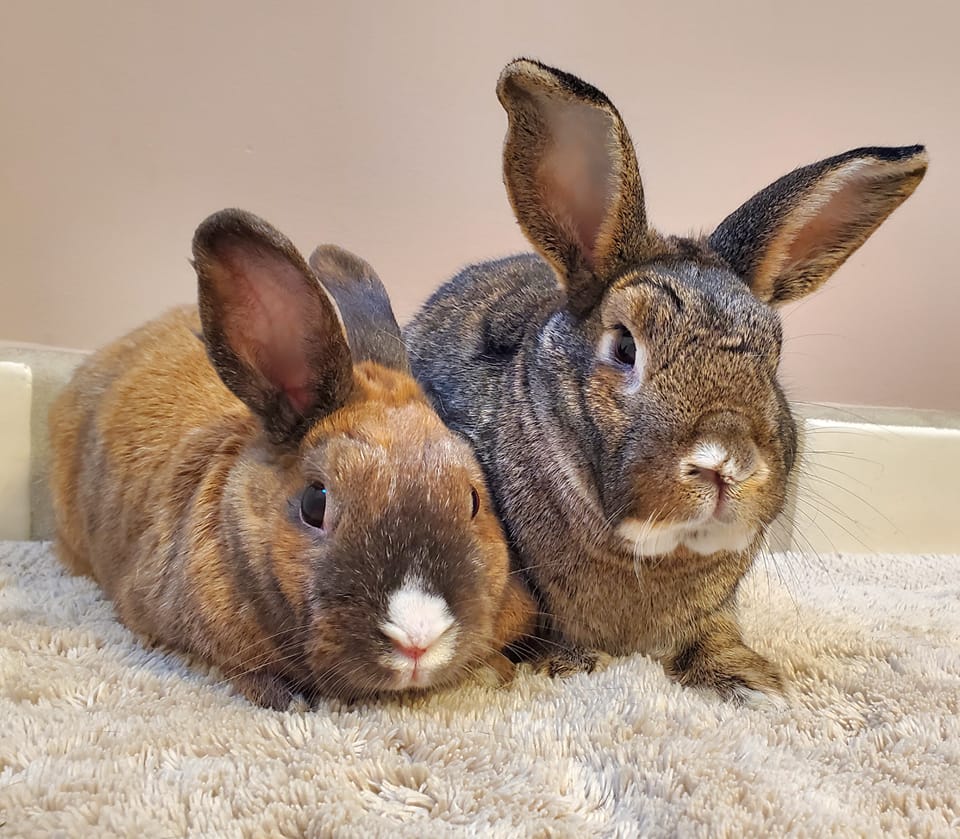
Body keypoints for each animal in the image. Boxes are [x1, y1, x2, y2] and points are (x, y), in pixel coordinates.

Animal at [404, 58, 928, 702]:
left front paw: (752, 682)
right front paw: (569, 666)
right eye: (625, 347)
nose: (726, 463)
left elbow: (715, 633)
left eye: (774, 357)